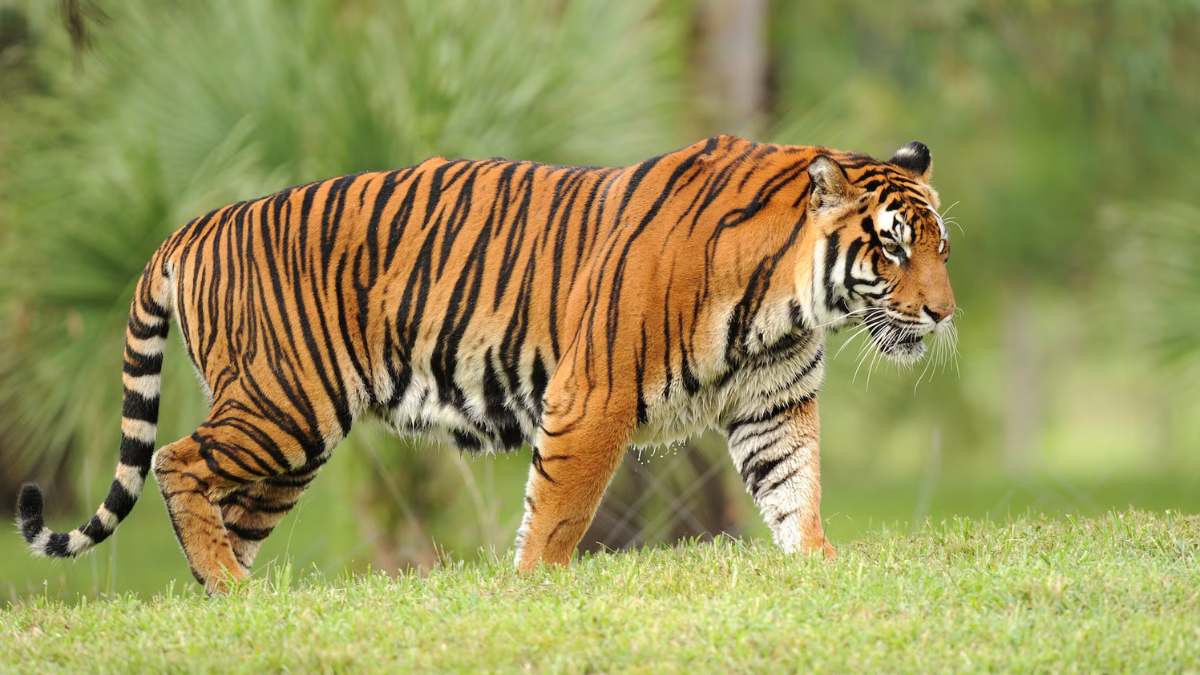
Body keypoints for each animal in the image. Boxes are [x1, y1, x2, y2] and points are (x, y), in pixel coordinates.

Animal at [17, 135, 955, 594]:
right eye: (893, 248)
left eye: (940, 247)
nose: (944, 313)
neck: (787, 300)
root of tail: (195, 224)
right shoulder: (593, 396)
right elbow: (559, 511)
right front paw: (535, 586)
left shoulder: (774, 407)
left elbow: (797, 492)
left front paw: (820, 565)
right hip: (283, 403)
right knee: (177, 460)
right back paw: (225, 585)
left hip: (290, 444)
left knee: (224, 507)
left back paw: (231, 597)